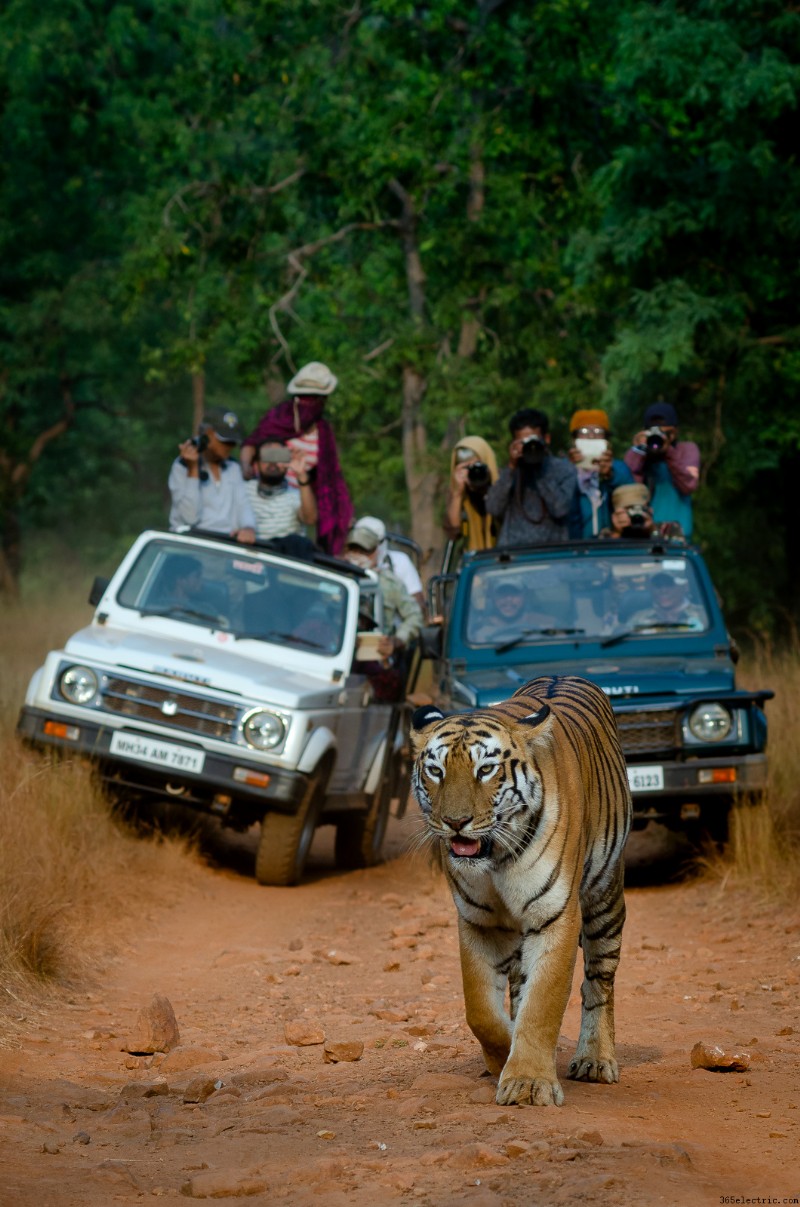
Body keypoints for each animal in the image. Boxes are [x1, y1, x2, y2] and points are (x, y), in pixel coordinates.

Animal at [412, 675, 632, 1105]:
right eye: (435, 770)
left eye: (485, 769)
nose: (456, 821)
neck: (495, 859)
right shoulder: (478, 920)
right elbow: (480, 1010)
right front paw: (503, 1059)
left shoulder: (554, 914)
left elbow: (542, 1003)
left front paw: (528, 1083)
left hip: (605, 900)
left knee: (598, 981)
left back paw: (595, 1060)